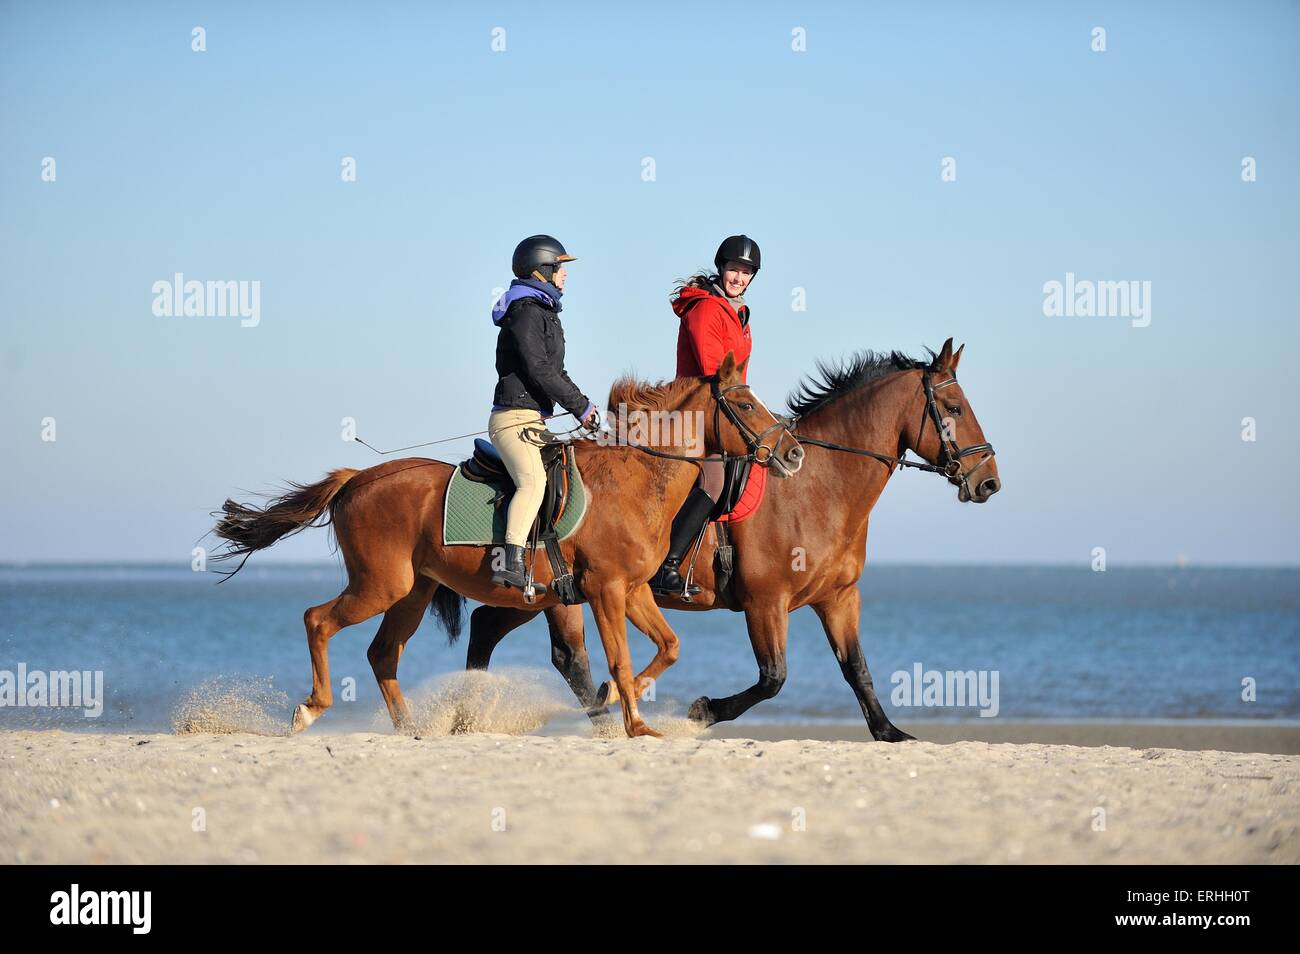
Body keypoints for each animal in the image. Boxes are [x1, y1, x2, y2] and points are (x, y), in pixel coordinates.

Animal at [209, 351, 805, 738]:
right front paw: (634, 722)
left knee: (382, 653)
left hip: (413, 593)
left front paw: (621, 702)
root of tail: (358, 479)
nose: (793, 454)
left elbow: (668, 647)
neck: (636, 476)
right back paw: (312, 708)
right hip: (382, 585)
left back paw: (410, 730)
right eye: (745, 406)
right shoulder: (607, 591)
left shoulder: (633, 591)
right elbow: (618, 657)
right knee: (318, 619)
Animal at [459, 338, 999, 741]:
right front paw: (703, 710)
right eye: (954, 407)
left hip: (544, 592)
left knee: (495, 628)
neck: (816, 488)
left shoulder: (839, 597)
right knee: (563, 655)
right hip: (558, 592)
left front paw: (890, 733)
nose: (988, 482)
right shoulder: (766, 602)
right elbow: (773, 677)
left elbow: (856, 669)